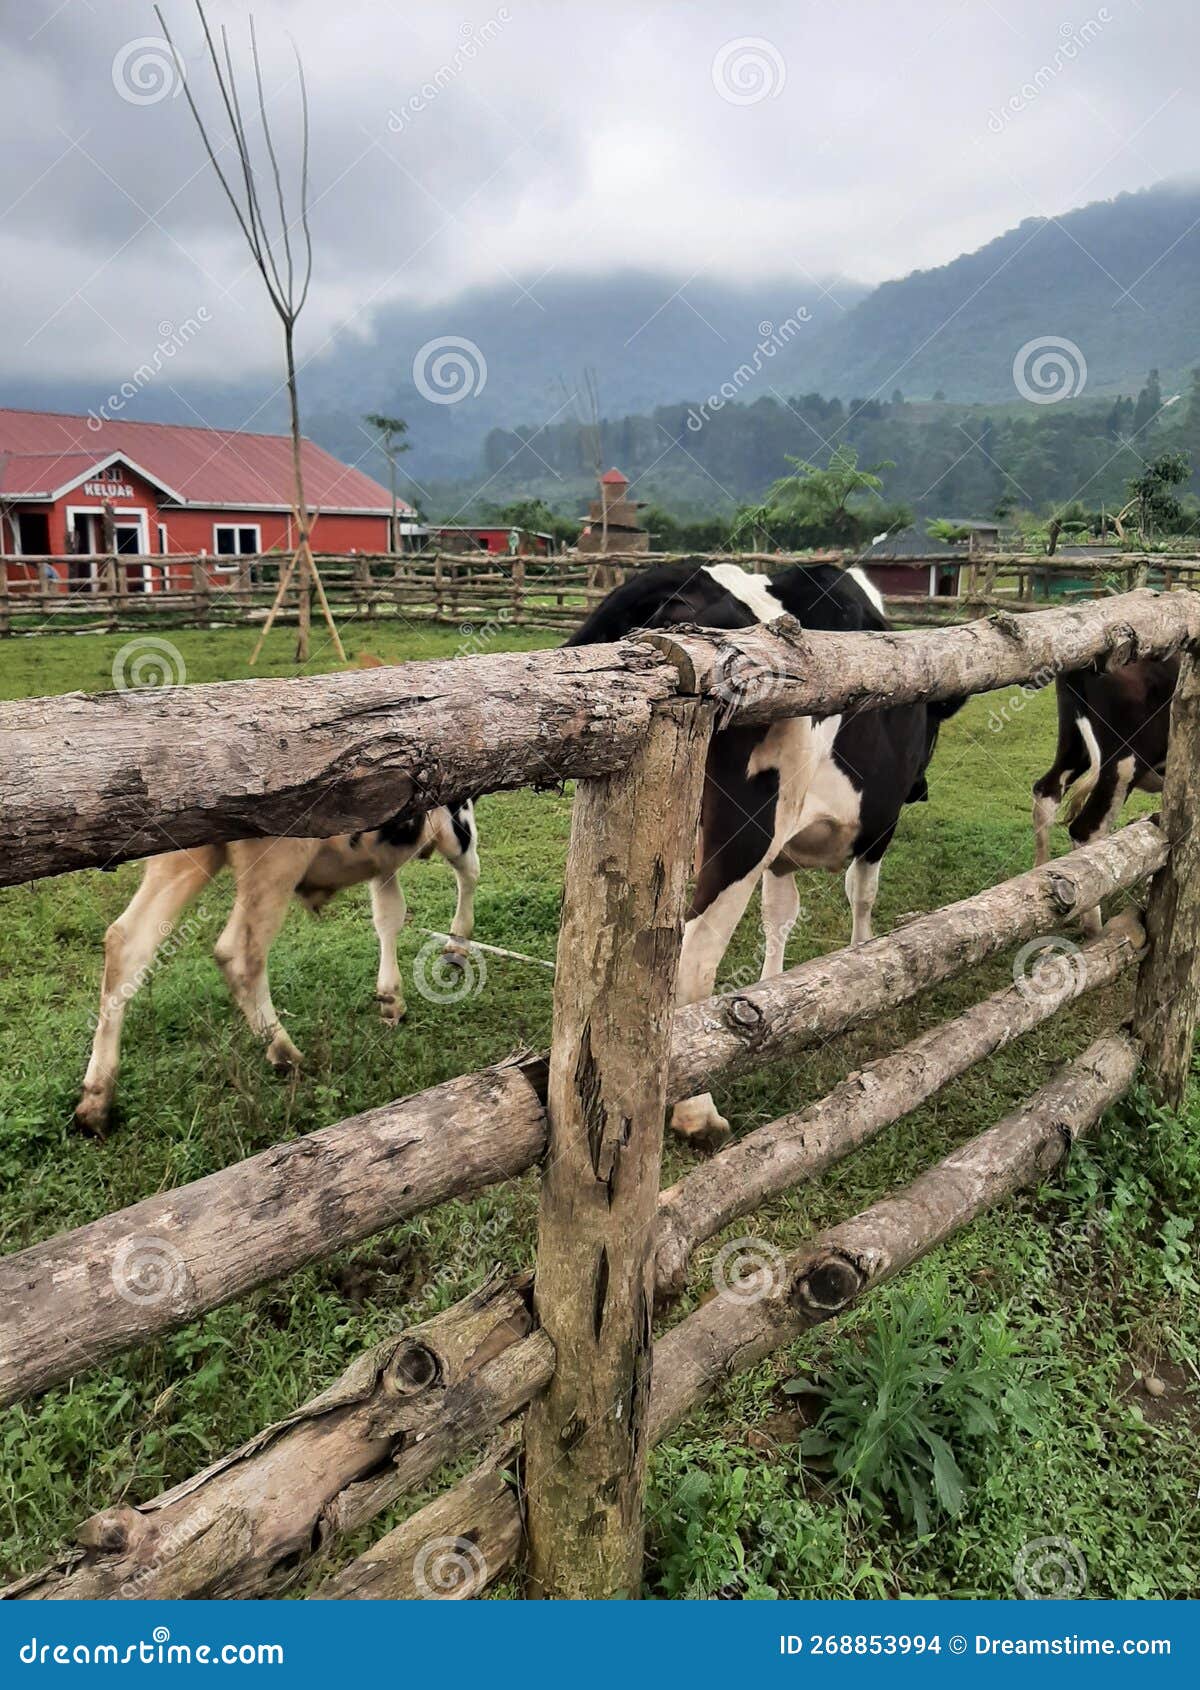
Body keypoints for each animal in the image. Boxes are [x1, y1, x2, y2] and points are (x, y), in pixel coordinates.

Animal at [74, 802, 479, 1136]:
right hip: (277, 859)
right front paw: (456, 947)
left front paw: (390, 998)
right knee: (239, 952)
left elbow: (388, 913)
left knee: (127, 941)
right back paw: (284, 1052)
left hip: (182, 854)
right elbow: (469, 870)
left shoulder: (385, 848)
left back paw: (96, 1101)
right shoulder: (454, 814)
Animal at [567, 559, 959, 1148]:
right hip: (747, 832)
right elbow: (862, 896)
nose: (923, 789)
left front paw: (771, 989)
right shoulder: (877, 828)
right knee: (692, 951)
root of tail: (688, 578)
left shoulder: (782, 856)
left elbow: (779, 915)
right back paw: (697, 1111)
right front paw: (865, 962)